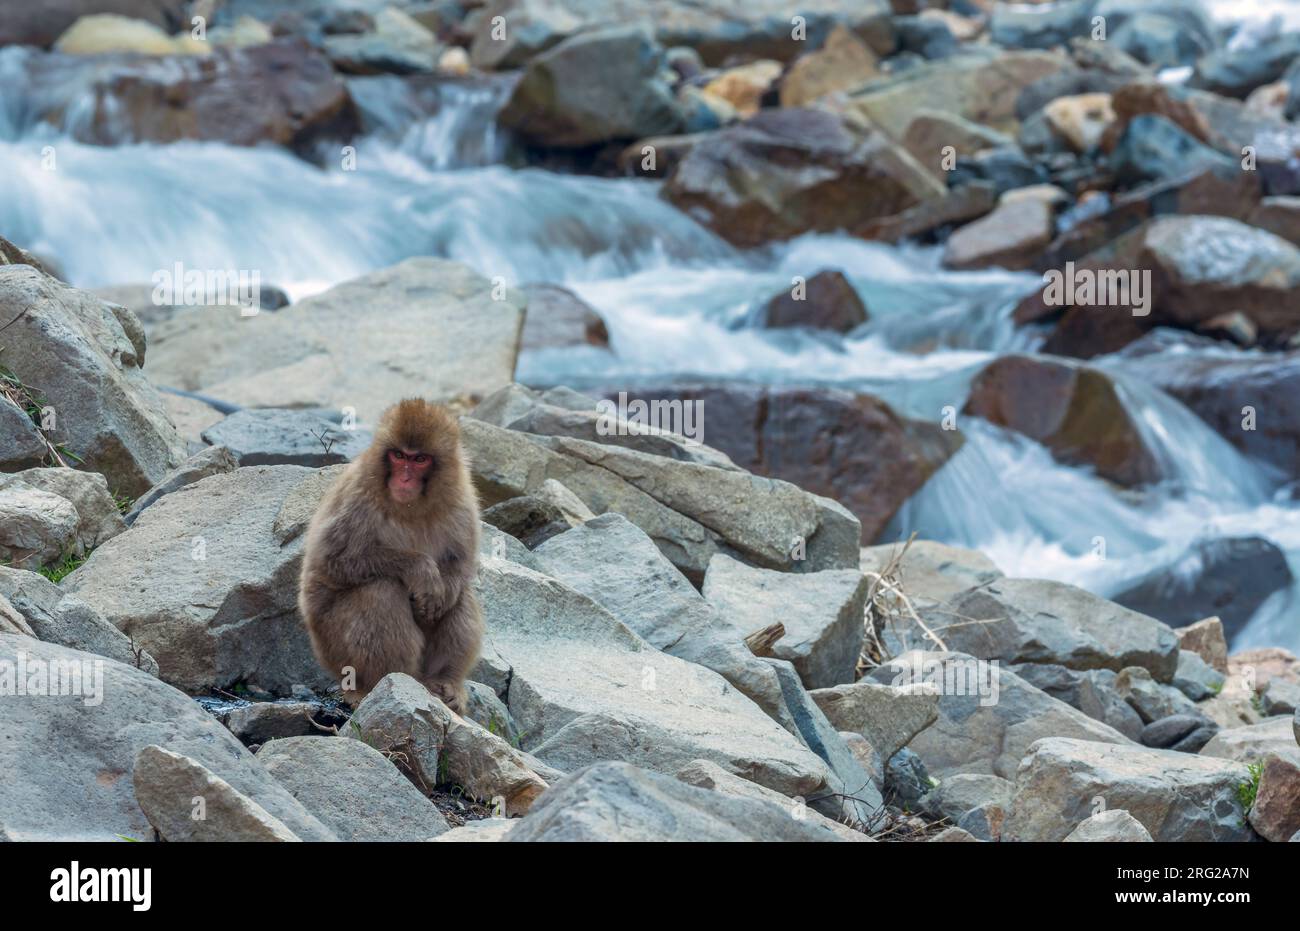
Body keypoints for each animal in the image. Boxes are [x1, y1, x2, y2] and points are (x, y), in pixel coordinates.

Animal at [298, 398, 482, 713]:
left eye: (419, 459)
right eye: (398, 455)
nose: (404, 478)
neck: (412, 508)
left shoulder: (463, 501)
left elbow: (460, 564)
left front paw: (440, 591)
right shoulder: (357, 497)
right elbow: (332, 561)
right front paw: (421, 570)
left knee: (461, 596)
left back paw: (443, 682)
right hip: (332, 649)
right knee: (380, 591)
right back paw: (384, 683)